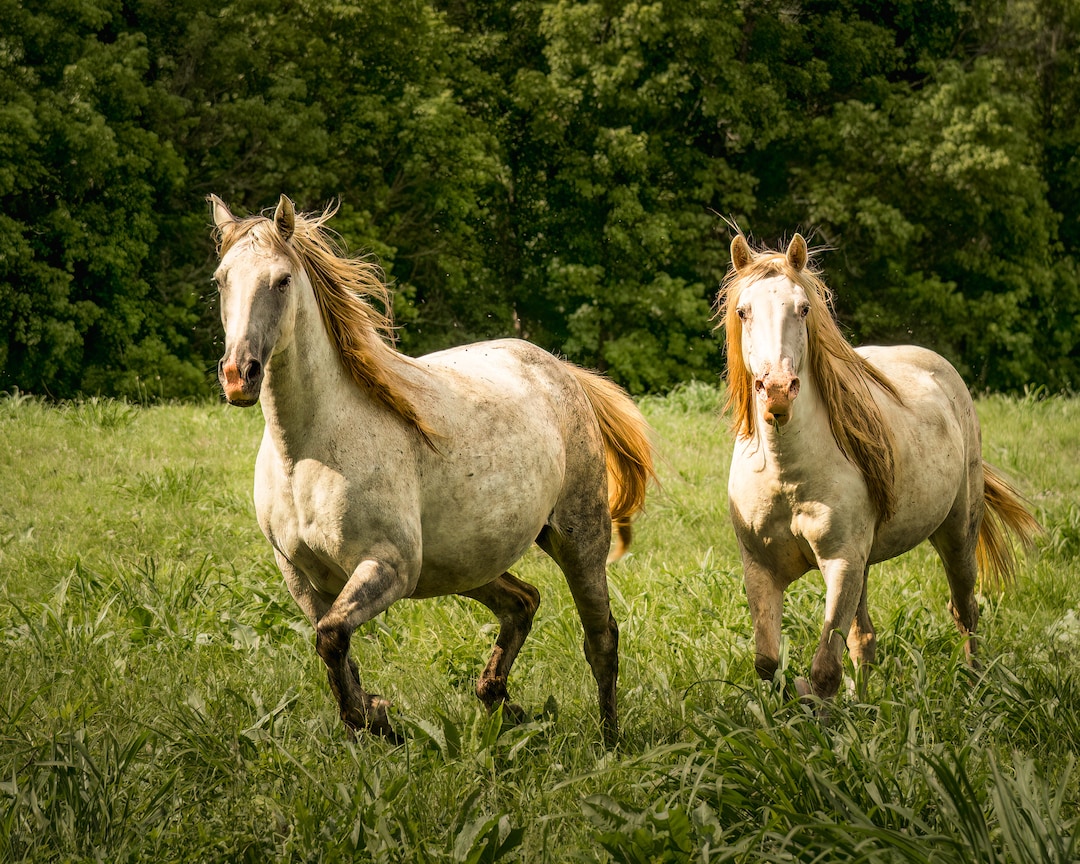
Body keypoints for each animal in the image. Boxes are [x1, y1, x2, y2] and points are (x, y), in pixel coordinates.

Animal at [209, 194, 656, 745]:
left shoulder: (389, 566)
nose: (239, 375)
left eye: (282, 280)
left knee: (601, 638)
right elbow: (334, 648)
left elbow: (332, 637)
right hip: (465, 561)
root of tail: (560, 369)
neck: (307, 453)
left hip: (578, 539)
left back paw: (608, 739)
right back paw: (500, 702)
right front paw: (372, 717)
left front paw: (378, 719)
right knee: (522, 602)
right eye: (222, 280)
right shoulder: (300, 577)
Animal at [718, 232, 1041, 703]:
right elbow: (768, 663)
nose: (777, 389)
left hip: (956, 534)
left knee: (966, 612)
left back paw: (975, 687)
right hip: (868, 563)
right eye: (744, 311)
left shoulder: (842, 563)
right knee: (865, 638)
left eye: (804, 308)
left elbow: (825, 670)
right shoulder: (761, 567)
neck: (787, 477)